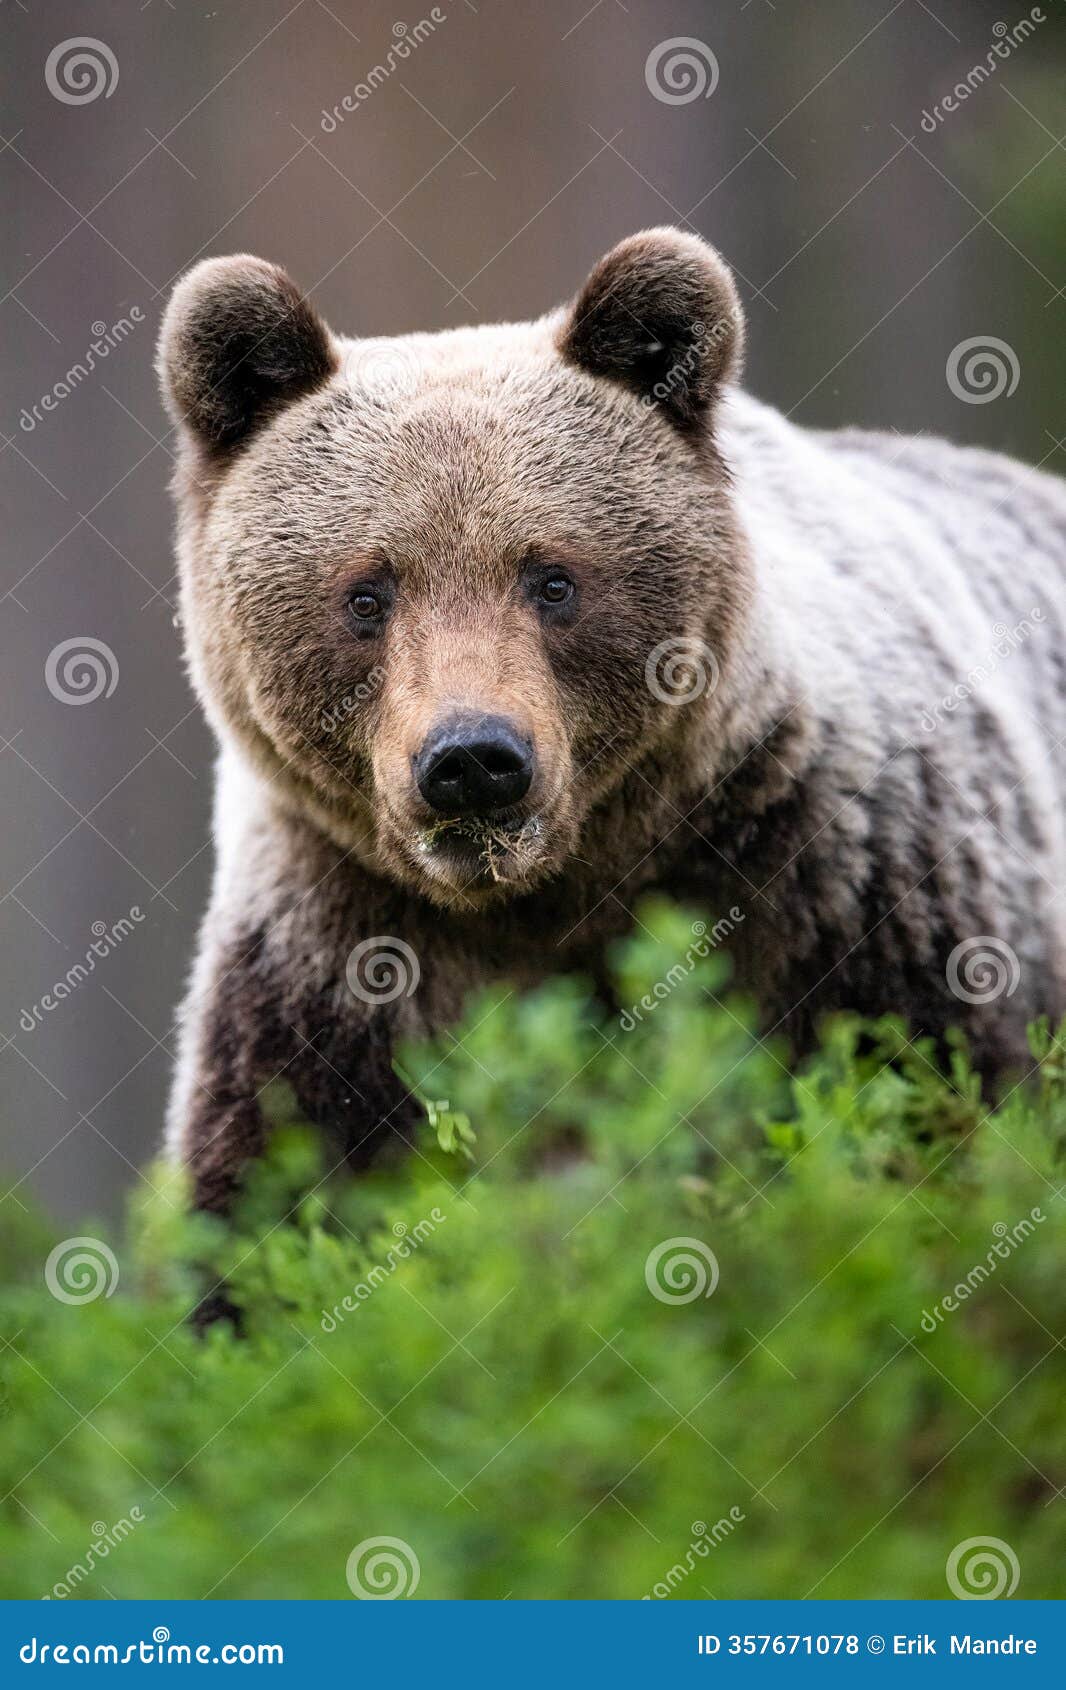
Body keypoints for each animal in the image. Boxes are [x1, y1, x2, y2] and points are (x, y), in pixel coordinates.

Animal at [157, 228, 1066, 1215]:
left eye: (552, 578)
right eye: (367, 593)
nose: (472, 759)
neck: (553, 894)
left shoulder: (841, 877)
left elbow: (932, 1086)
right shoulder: (334, 944)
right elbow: (278, 1176)